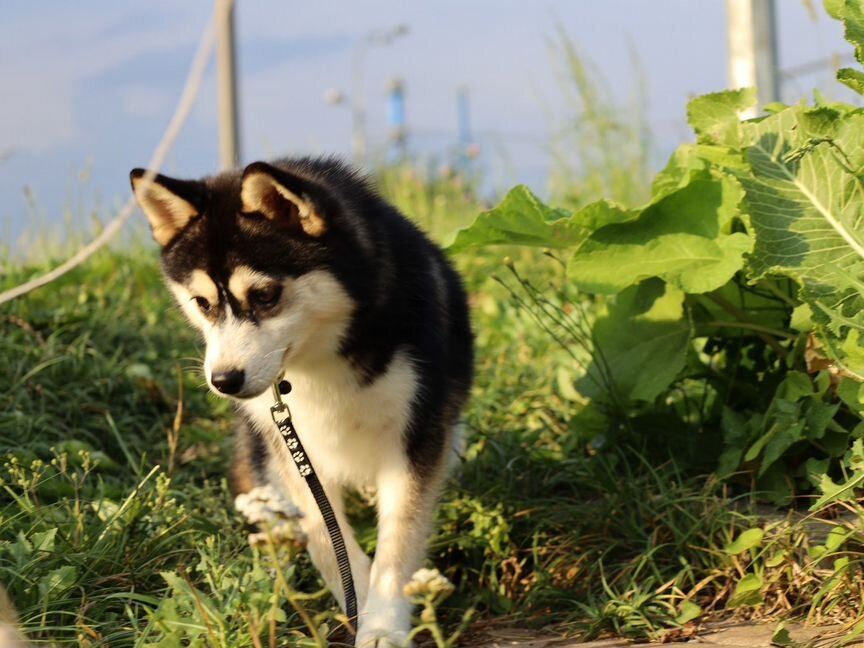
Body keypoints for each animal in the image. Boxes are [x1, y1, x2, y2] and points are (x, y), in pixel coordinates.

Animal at [132, 158, 476, 648]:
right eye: (202, 303)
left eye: (264, 295)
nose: (224, 380)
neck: (319, 361)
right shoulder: (288, 441)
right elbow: (325, 537)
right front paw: (358, 602)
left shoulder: (417, 430)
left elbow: (398, 543)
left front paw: (383, 625)